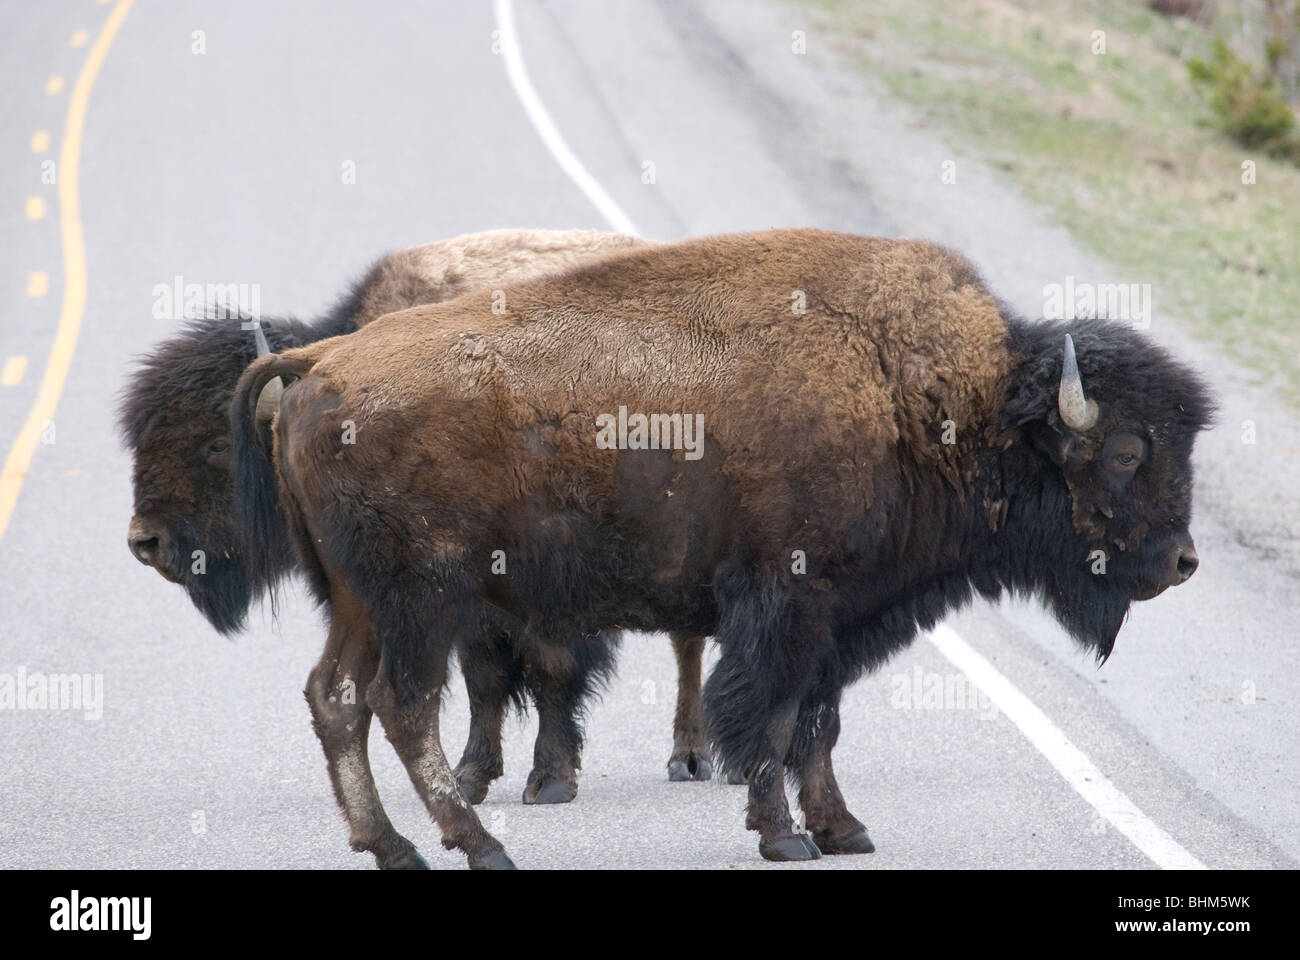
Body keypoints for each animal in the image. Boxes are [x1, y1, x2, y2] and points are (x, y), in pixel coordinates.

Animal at [118, 229, 719, 815]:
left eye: (218, 443)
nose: (147, 542)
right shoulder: (467, 606)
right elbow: (484, 681)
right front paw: (471, 776)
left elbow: (550, 670)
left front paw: (549, 780)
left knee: (687, 643)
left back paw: (690, 759)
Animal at [232, 229, 1213, 868]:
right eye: (1128, 450)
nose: (1182, 563)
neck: (920, 393)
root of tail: (319, 364)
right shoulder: (787, 607)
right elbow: (771, 719)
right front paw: (784, 836)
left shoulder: (837, 621)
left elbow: (818, 723)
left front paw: (843, 831)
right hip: (421, 600)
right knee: (402, 707)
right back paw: (479, 845)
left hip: (358, 602)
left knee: (337, 699)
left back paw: (392, 845)